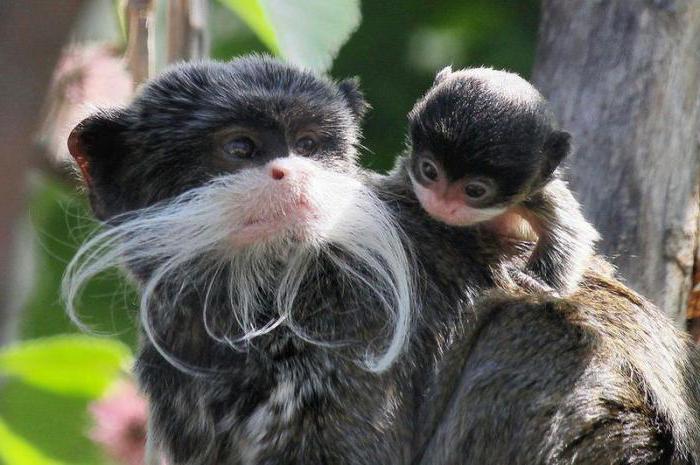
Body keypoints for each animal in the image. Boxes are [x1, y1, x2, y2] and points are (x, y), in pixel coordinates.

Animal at [408, 66, 600, 294]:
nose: (440, 204)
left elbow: (568, 232)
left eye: (474, 191)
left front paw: (537, 281)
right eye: (429, 170)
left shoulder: (539, 193)